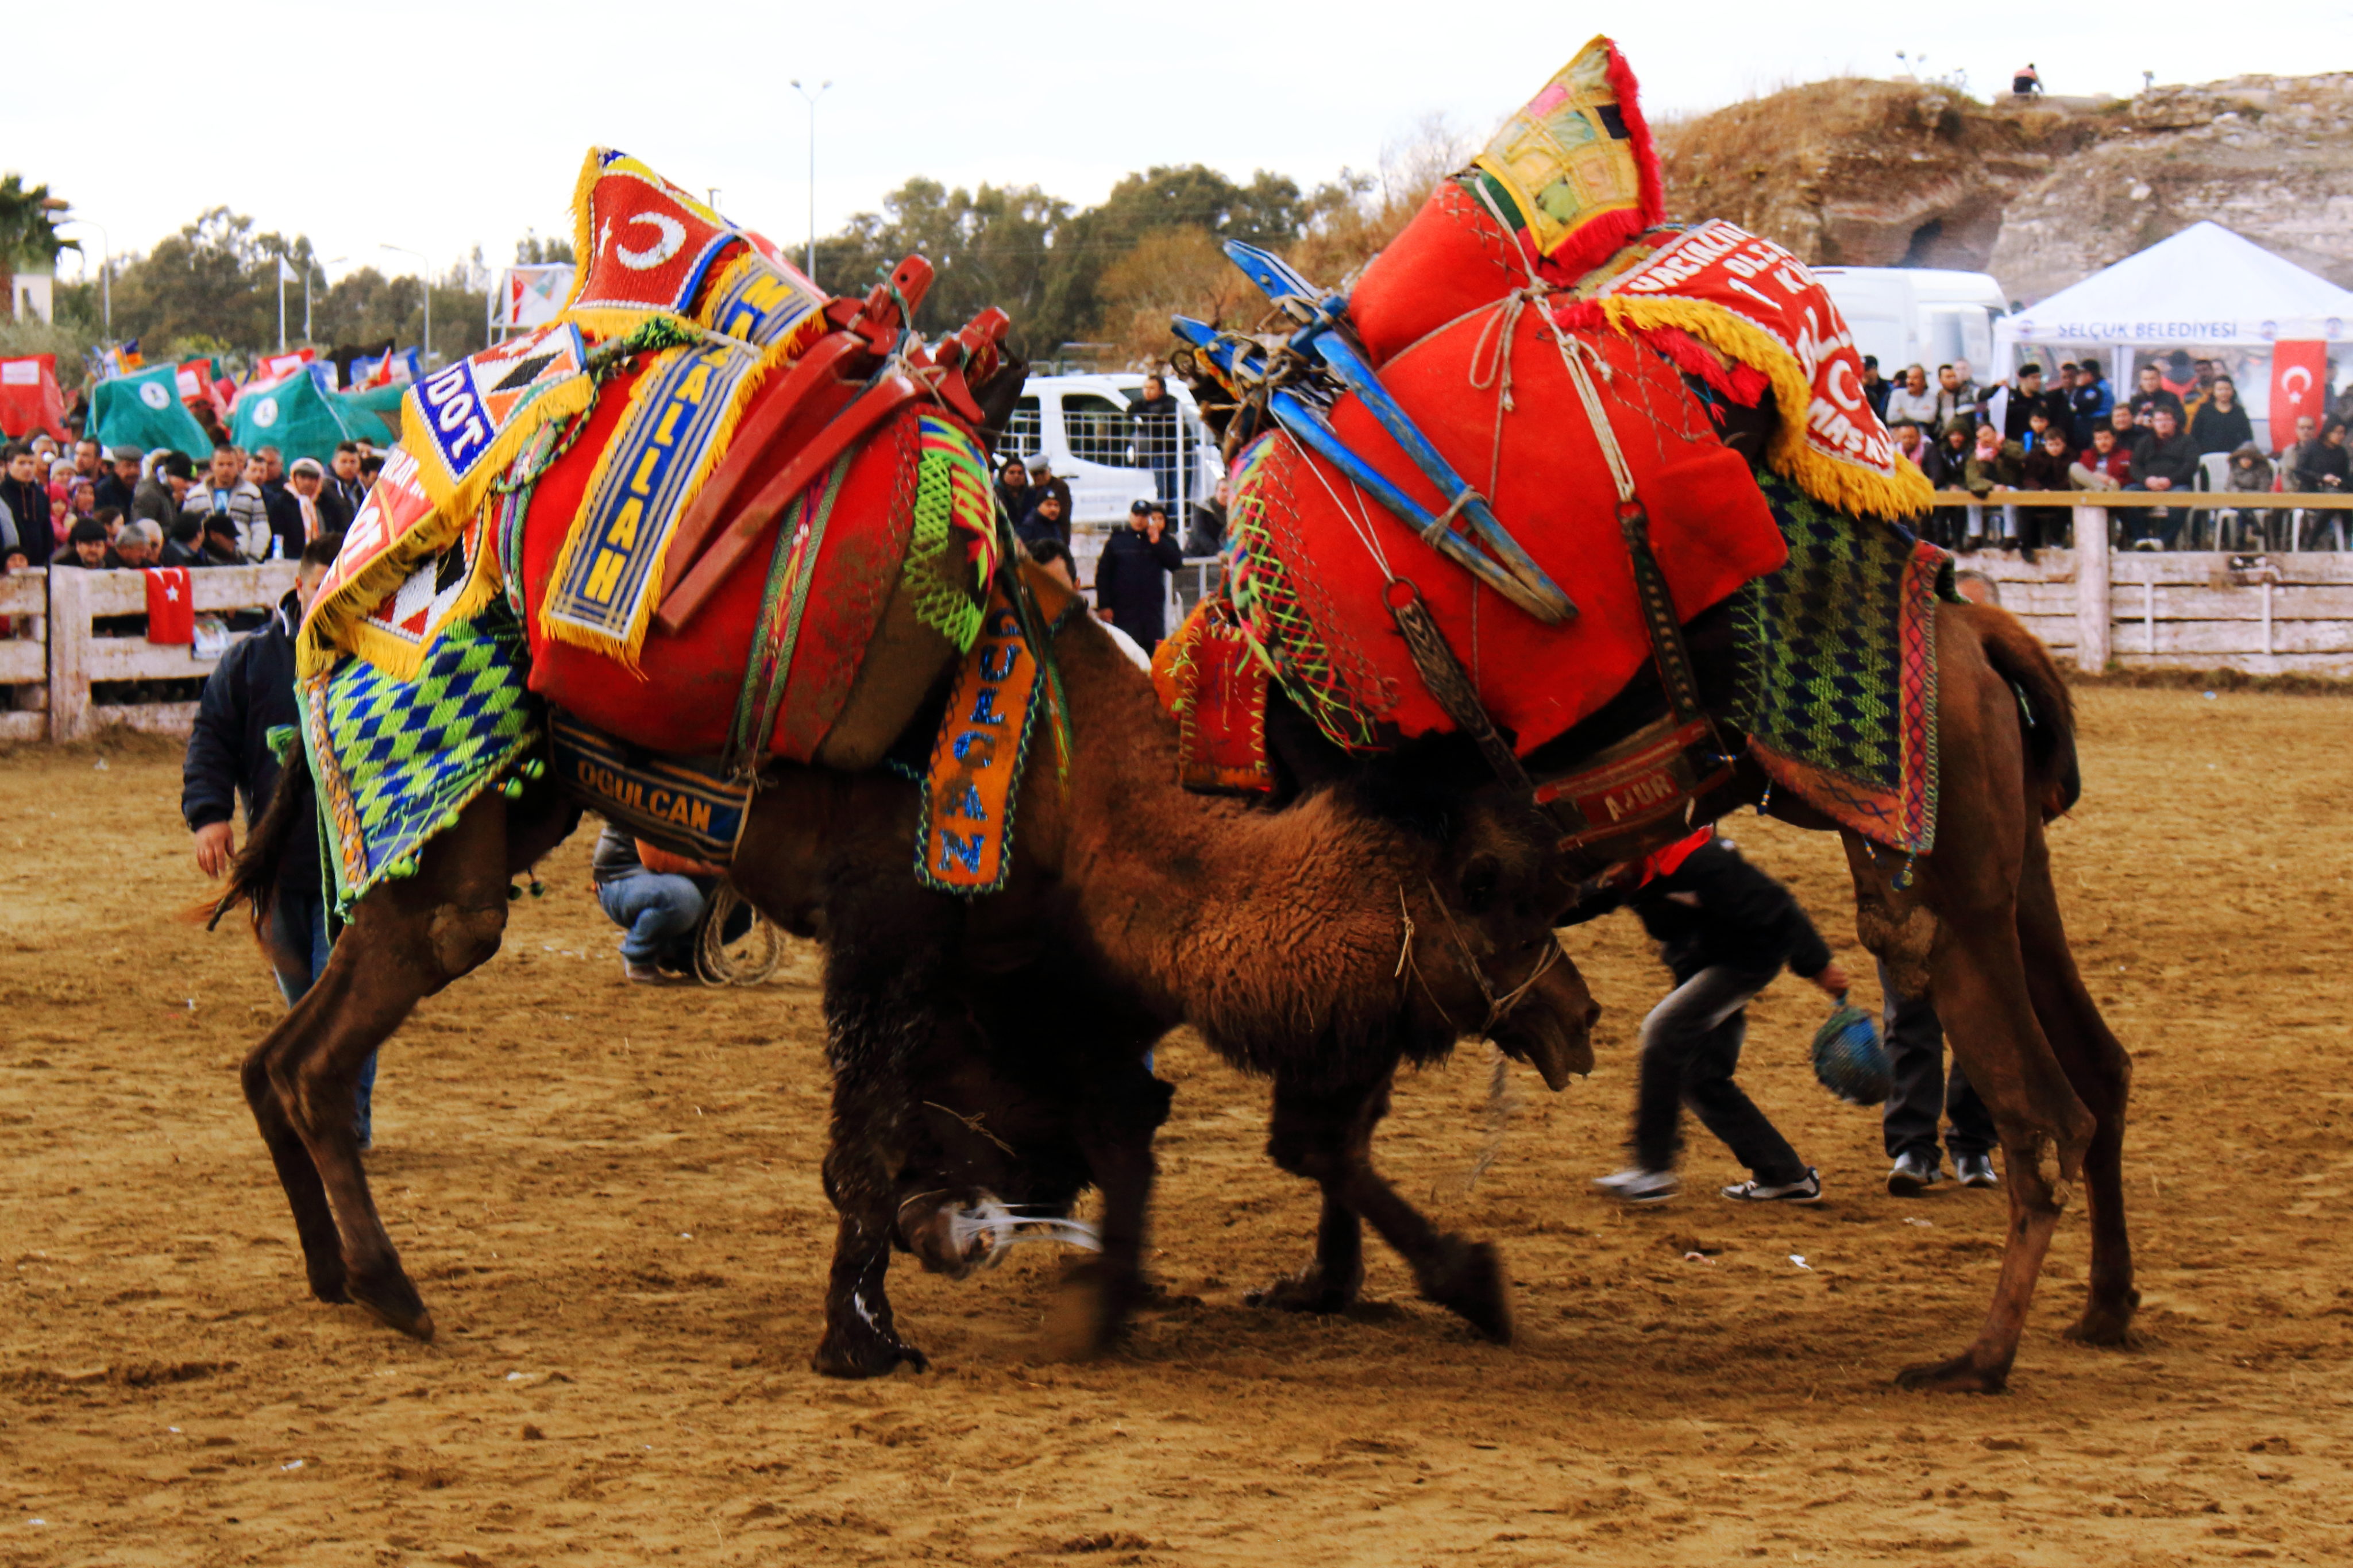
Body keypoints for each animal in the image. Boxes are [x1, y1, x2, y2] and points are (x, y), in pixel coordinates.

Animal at [221, 561, 1599, 1377]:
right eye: (1492, 884)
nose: (1577, 1017)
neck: (1087, 796)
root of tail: (328, 620)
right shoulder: (891, 927)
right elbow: (871, 1150)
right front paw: (864, 1340)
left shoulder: (1015, 989)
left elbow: (1097, 1138)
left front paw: (1096, 1299)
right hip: (454, 848)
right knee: (328, 1053)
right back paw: (392, 1290)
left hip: (487, 832)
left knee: (273, 1057)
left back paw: (330, 1275)